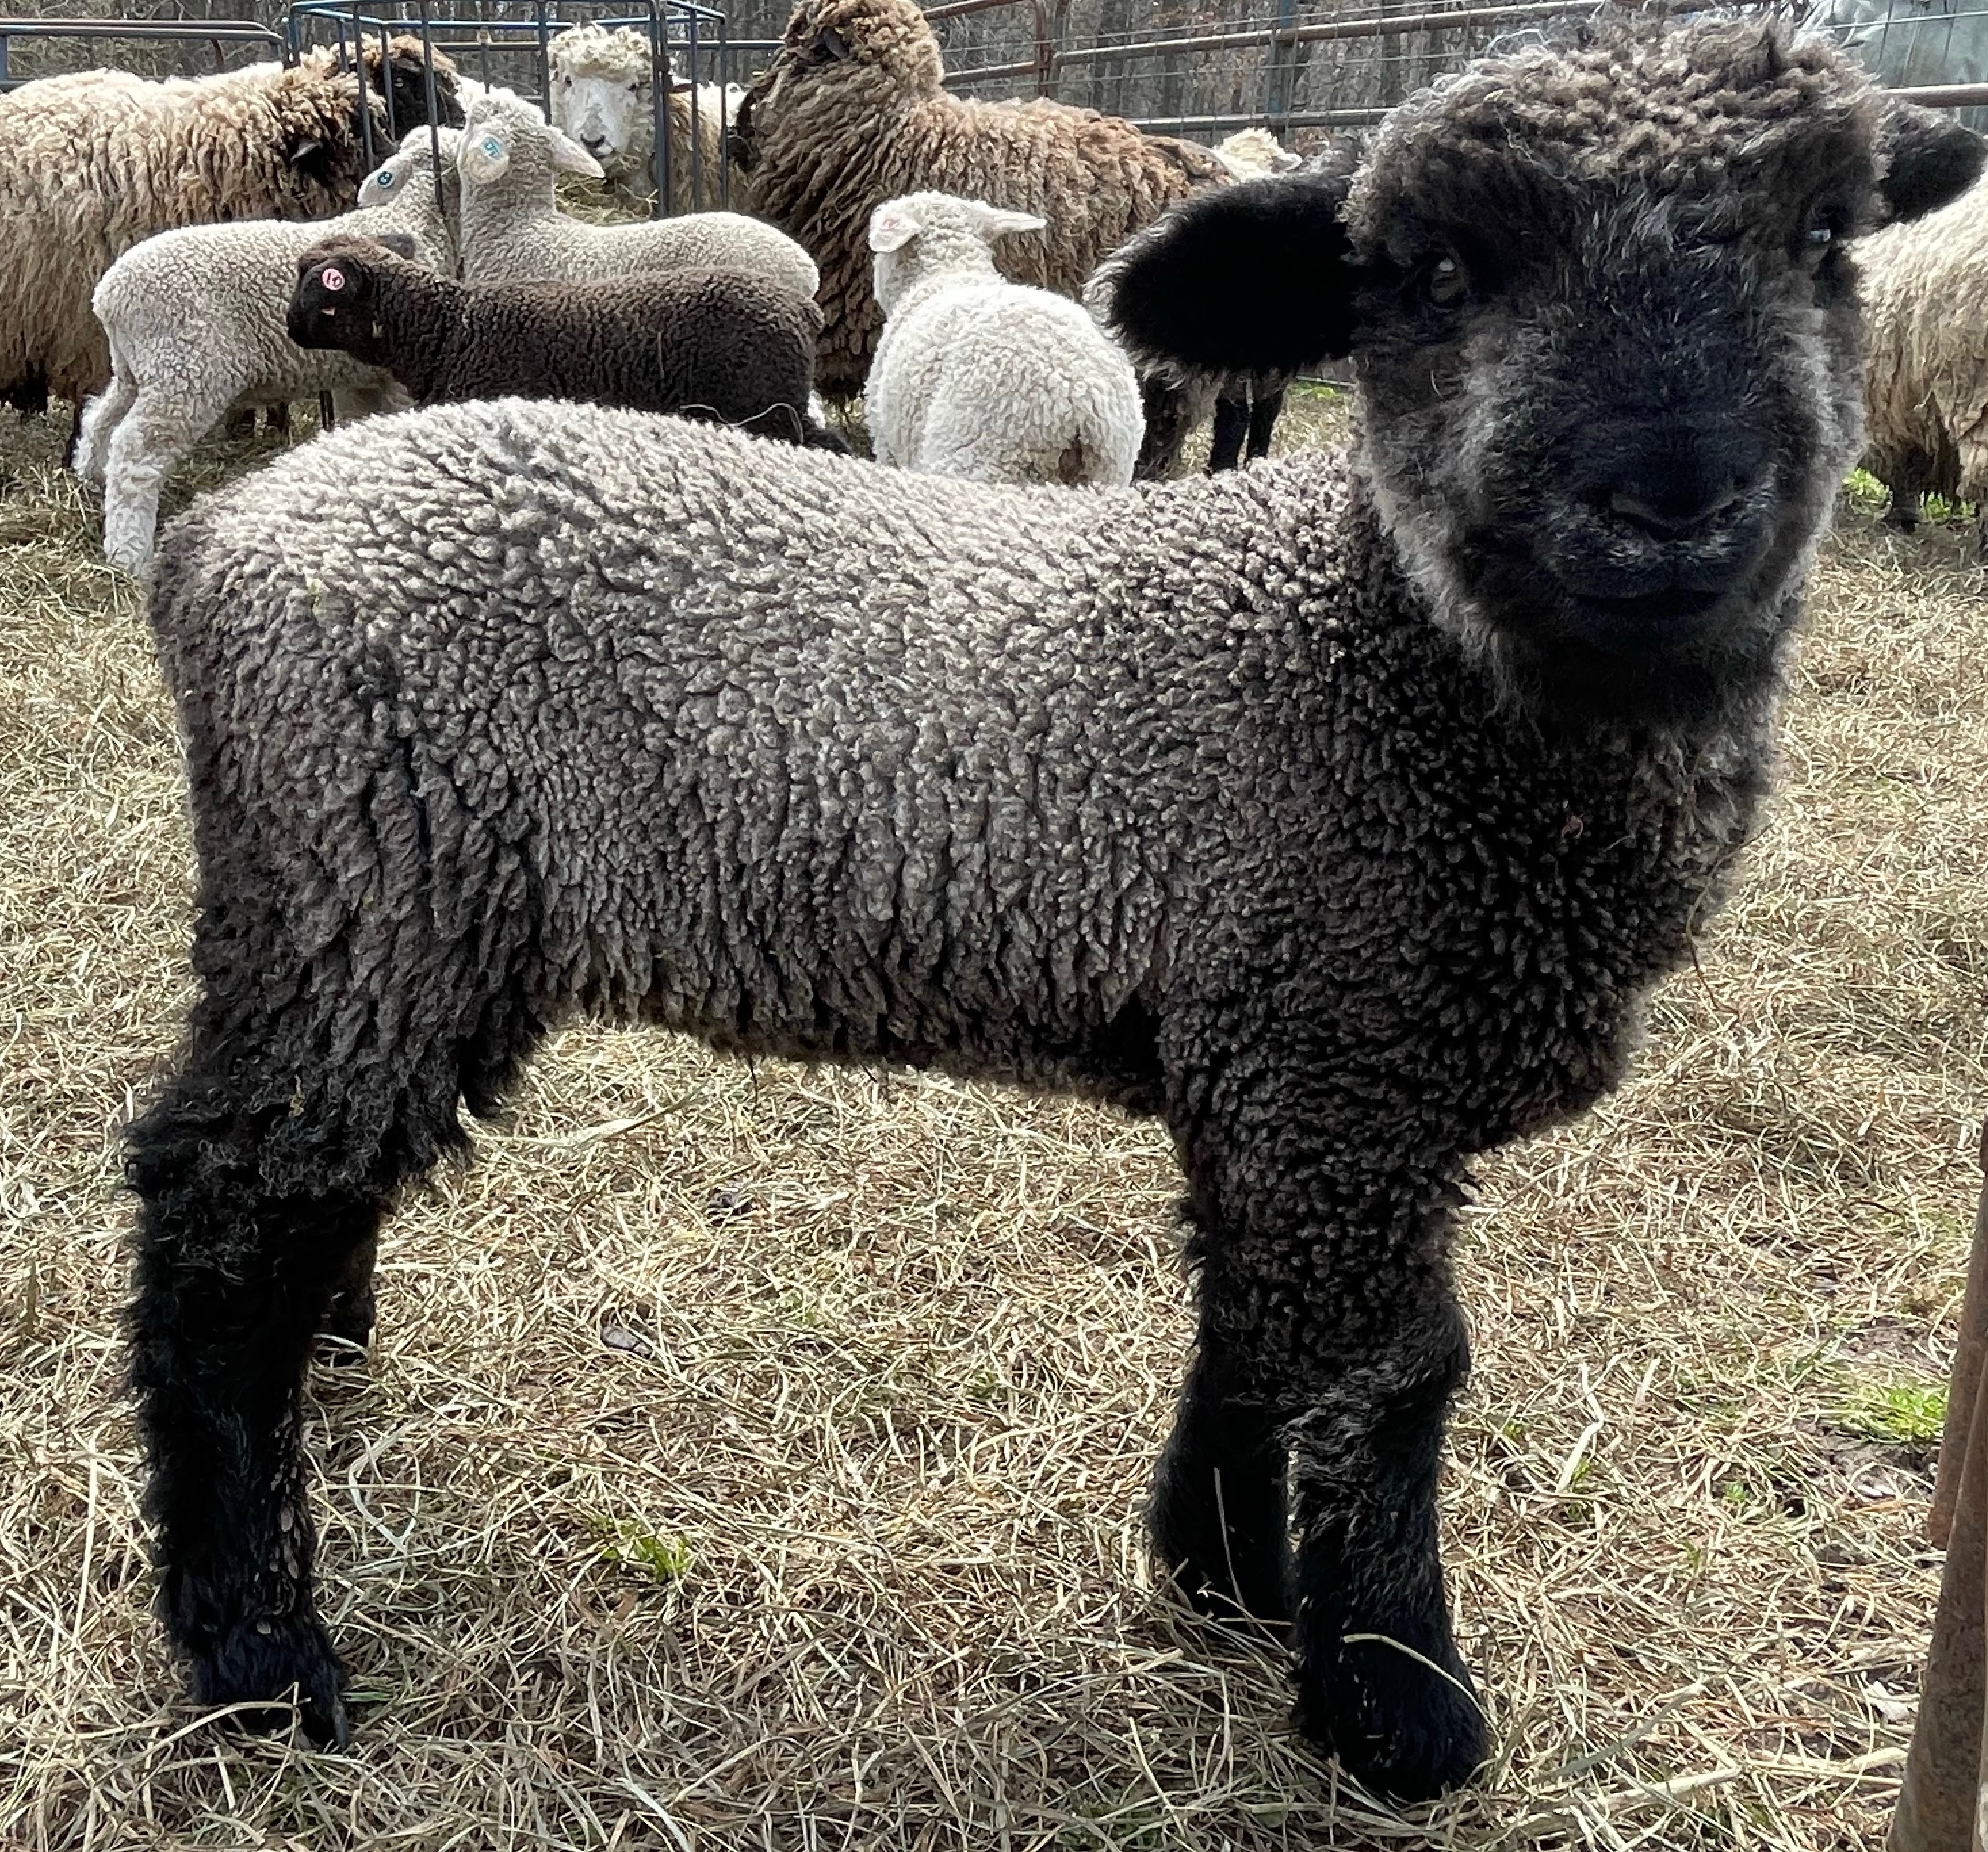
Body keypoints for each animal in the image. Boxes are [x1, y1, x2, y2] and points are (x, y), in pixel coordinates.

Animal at [75, 130, 463, 575]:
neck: (413, 221)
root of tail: (108, 296)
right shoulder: (397, 376)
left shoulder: (360, 378)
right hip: (187, 371)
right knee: (133, 453)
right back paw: (128, 554)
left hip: (138, 370)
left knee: (101, 419)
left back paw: (89, 477)